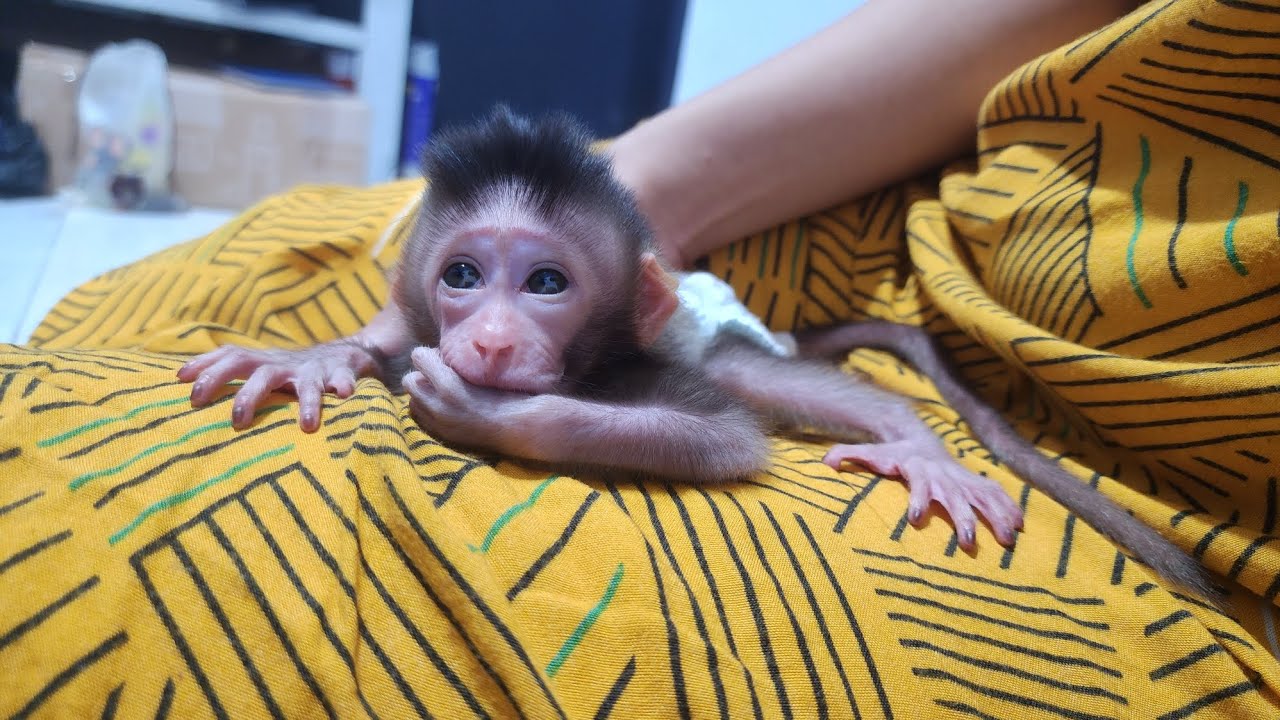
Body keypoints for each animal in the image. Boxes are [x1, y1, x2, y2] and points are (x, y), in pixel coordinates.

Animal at [177, 107, 1214, 601]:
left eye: (546, 284)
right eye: (463, 275)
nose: (492, 339)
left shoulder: (637, 367)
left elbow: (722, 442)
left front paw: (491, 413)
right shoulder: (415, 313)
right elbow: (384, 333)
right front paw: (315, 359)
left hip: (728, 351)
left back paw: (923, 455)